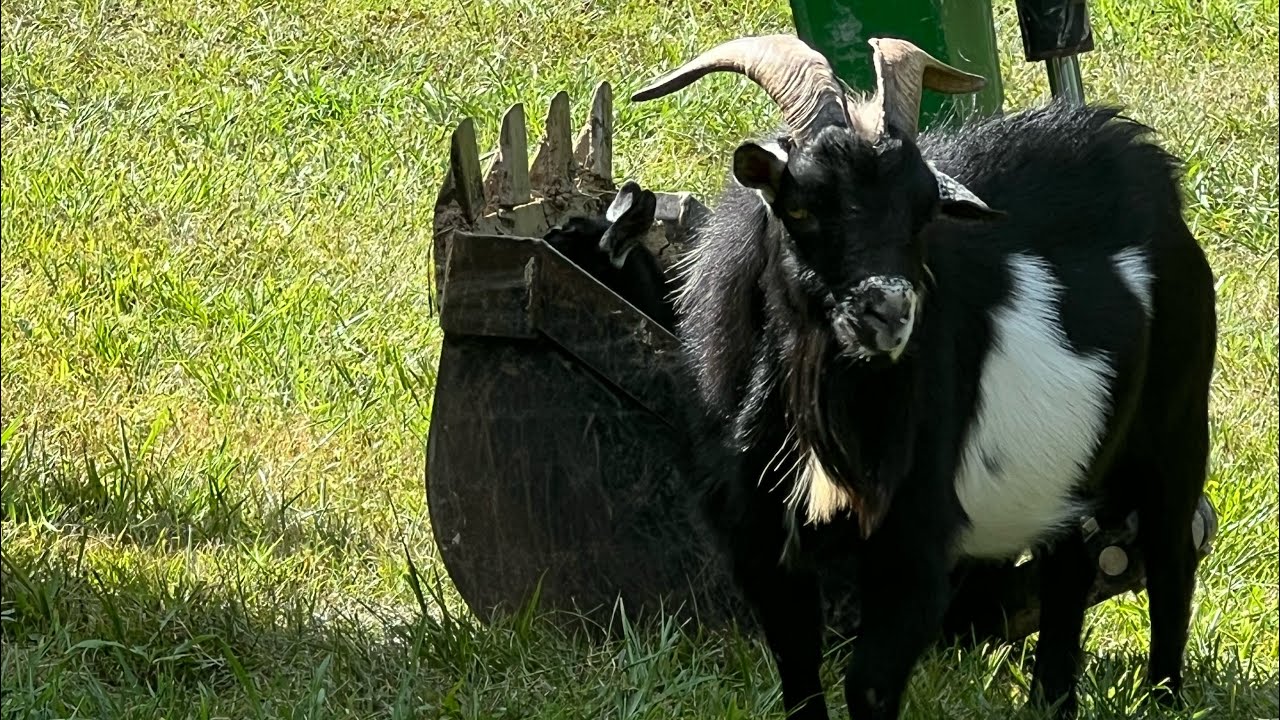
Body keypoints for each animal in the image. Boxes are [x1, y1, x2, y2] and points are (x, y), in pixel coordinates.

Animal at [631, 34, 1217, 719]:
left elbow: (869, 684)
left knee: (1171, 554)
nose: (888, 310)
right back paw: (1050, 701)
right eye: (800, 205)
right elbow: (799, 676)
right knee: (1068, 561)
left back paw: (1165, 696)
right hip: (1075, 467)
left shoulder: (916, 549)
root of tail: (1145, 163)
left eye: (923, 213)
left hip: (1177, 423)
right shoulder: (759, 548)